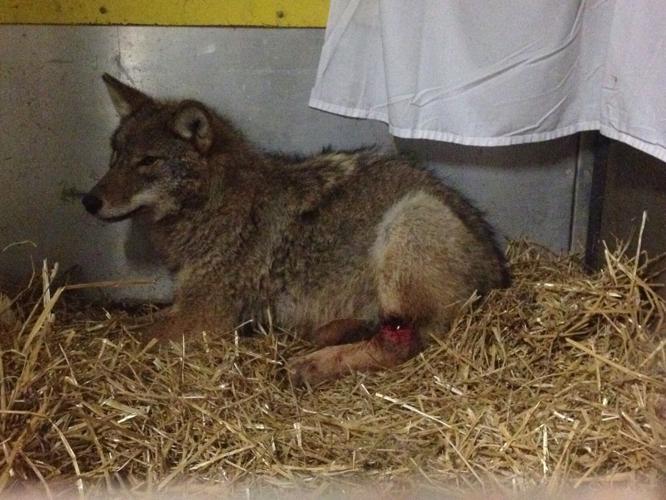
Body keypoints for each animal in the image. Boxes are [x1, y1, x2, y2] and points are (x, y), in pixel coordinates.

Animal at [82, 74, 510, 386]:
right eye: (115, 153)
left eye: (147, 161)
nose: (89, 201)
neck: (211, 206)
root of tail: (499, 269)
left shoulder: (204, 315)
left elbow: (130, 335)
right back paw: (328, 334)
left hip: (406, 218)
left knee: (402, 341)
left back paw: (312, 365)